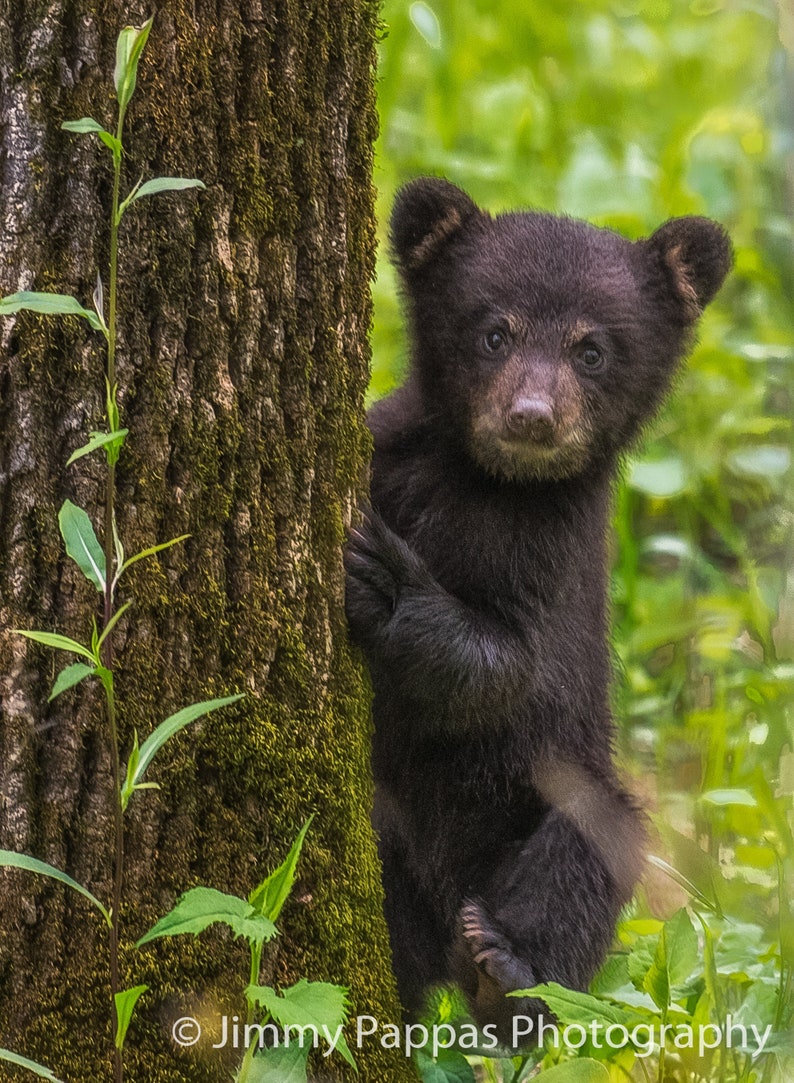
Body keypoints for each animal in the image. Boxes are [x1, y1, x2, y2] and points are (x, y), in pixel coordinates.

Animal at [344, 177, 732, 1047]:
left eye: (592, 349)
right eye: (495, 331)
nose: (530, 417)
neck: (486, 484)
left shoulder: (554, 551)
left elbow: (508, 666)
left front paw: (387, 581)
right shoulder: (391, 455)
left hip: (557, 793)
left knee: (594, 841)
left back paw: (505, 974)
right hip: (387, 831)